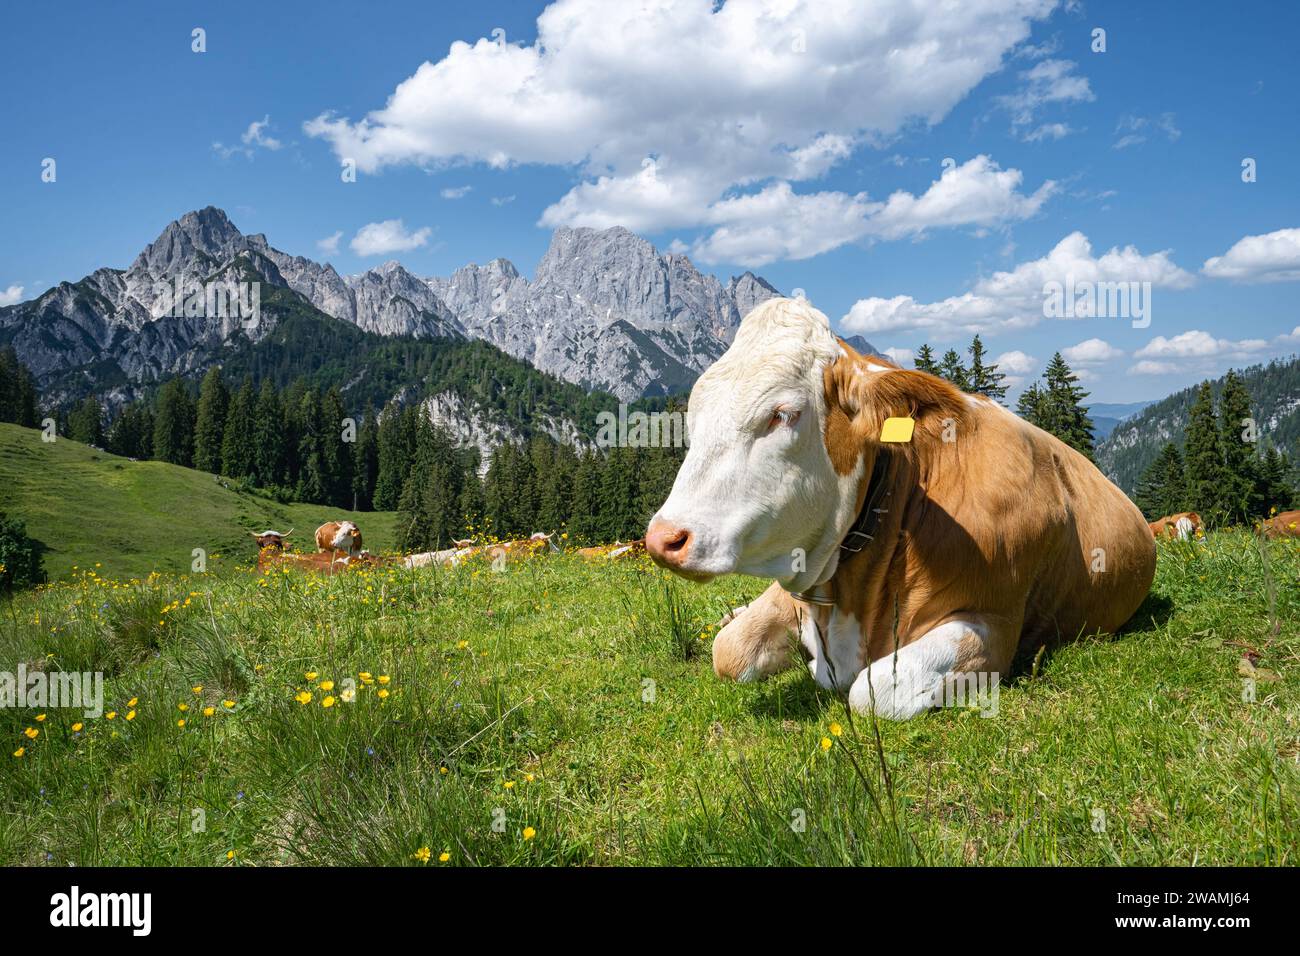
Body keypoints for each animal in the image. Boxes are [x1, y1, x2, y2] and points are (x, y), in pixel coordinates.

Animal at [644, 298, 1156, 720]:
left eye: (782, 414)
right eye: (694, 416)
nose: (664, 539)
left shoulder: (995, 625)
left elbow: (872, 692)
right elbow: (729, 651)